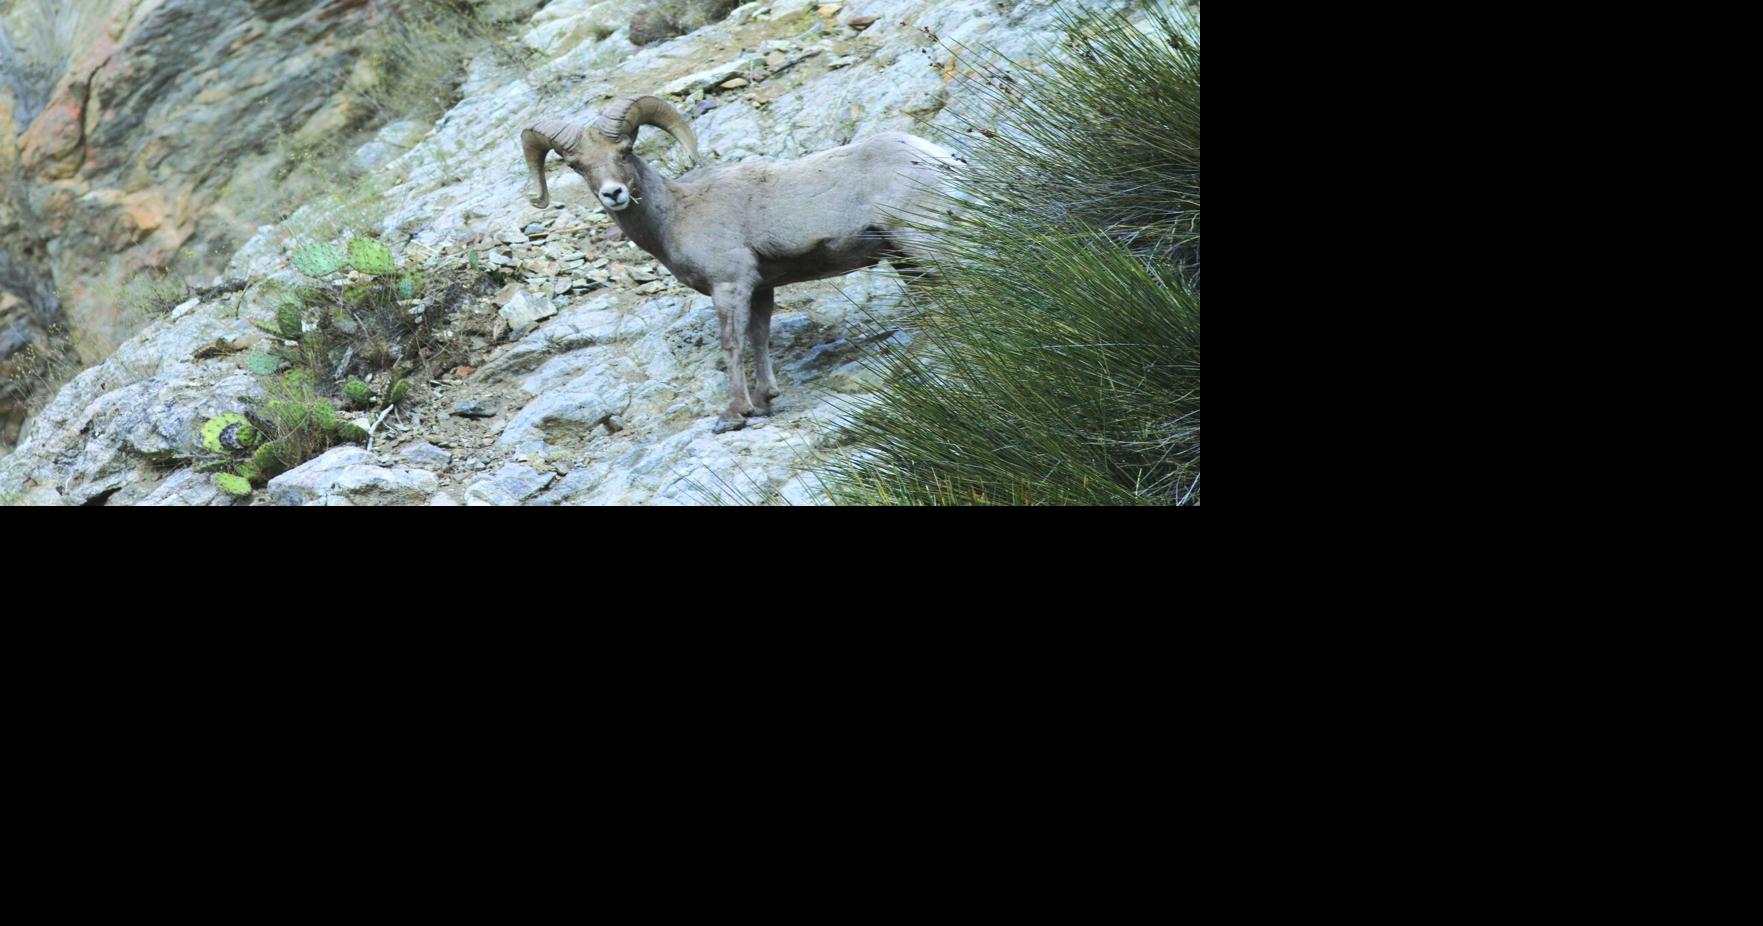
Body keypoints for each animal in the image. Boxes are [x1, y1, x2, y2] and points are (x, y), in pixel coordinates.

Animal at [522, 95, 954, 433]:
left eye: (625, 151)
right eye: (577, 165)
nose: (613, 194)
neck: (676, 214)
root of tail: (935, 156)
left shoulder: (729, 286)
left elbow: (732, 345)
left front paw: (733, 414)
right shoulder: (761, 288)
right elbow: (760, 338)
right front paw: (764, 400)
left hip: (921, 241)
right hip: (904, 257)